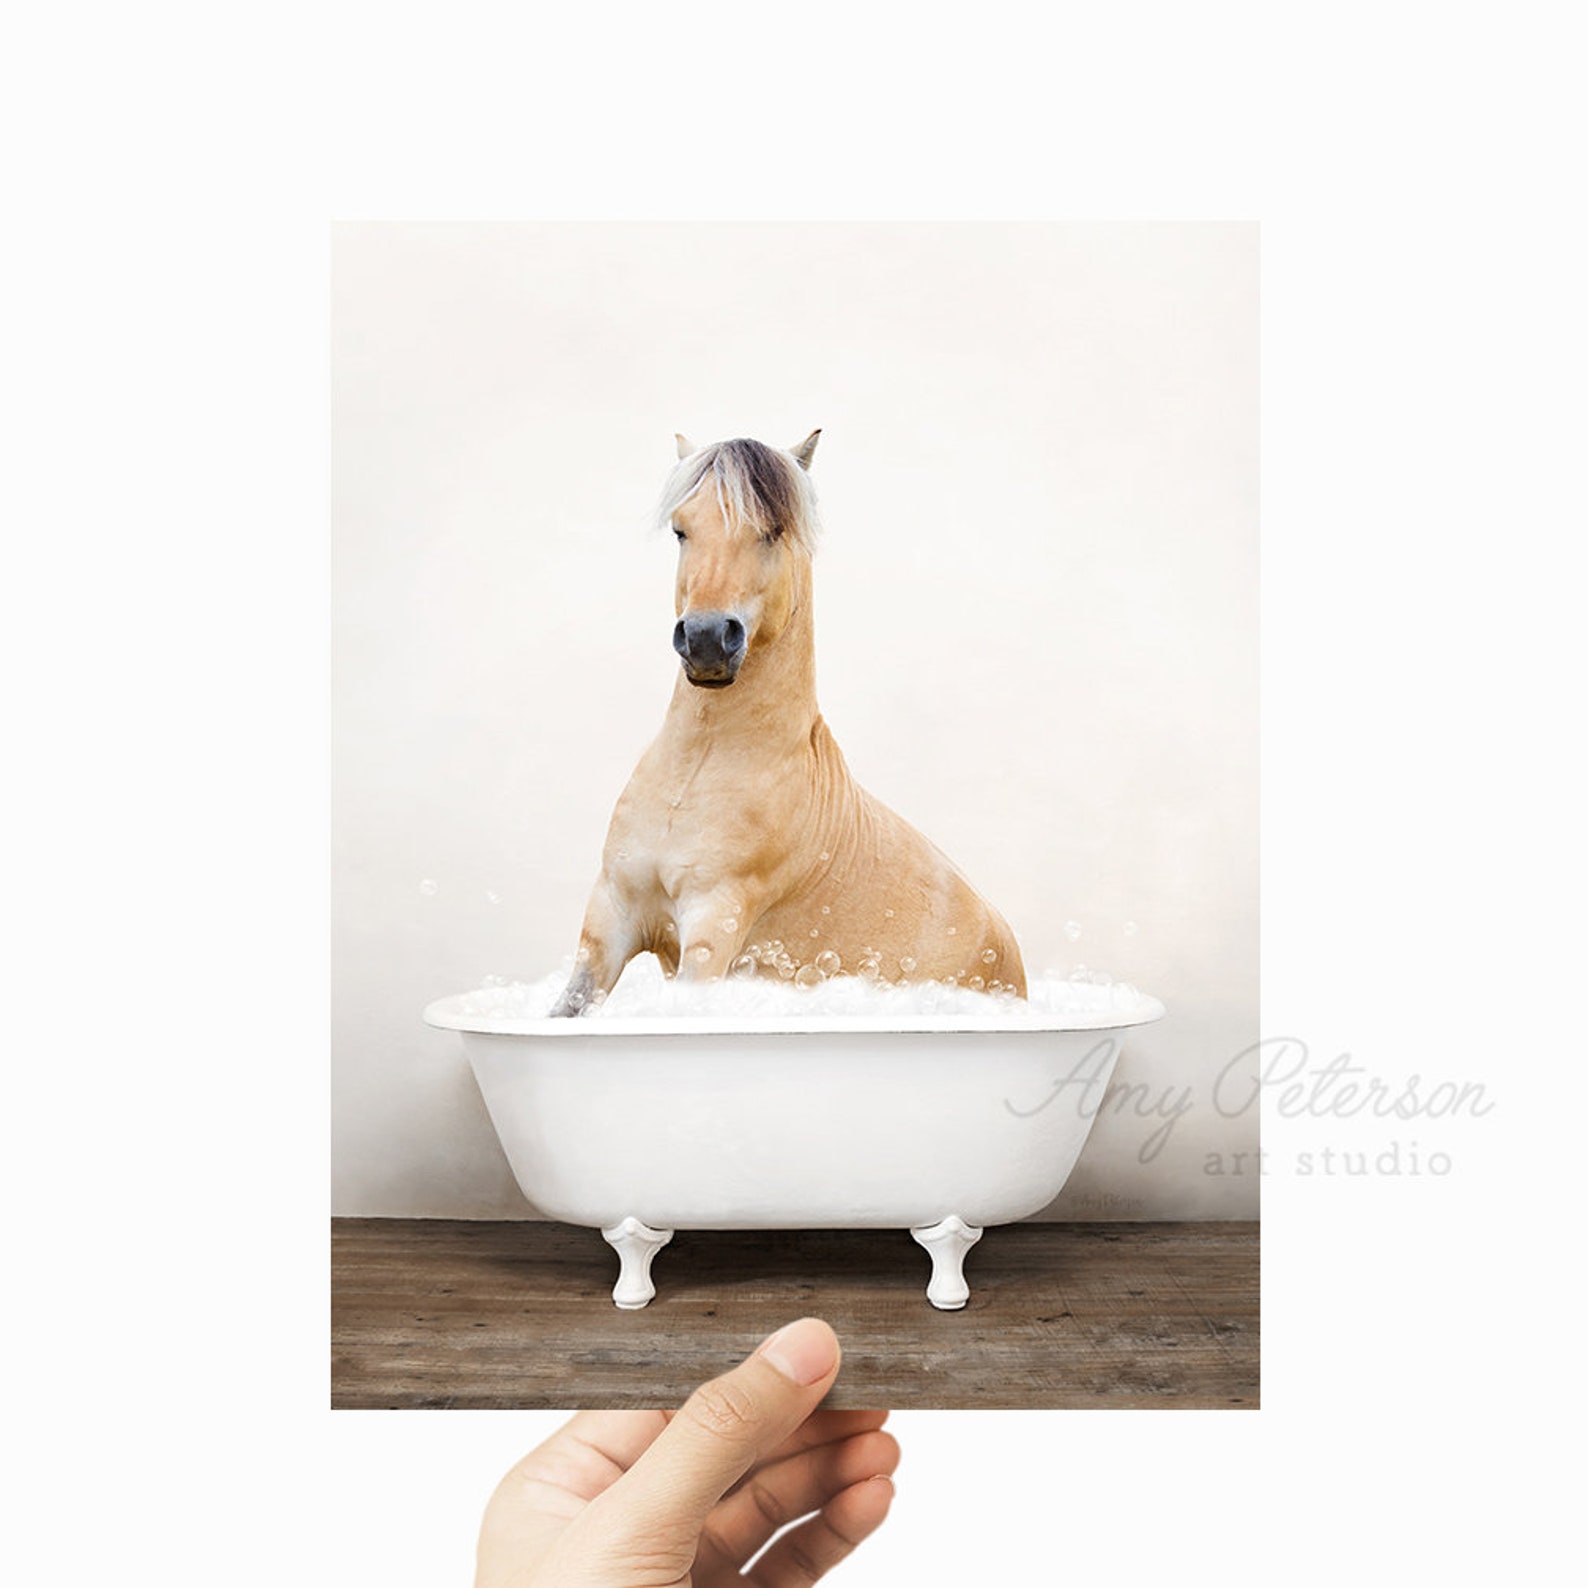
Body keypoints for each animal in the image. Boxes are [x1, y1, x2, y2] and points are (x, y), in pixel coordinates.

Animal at [550, 431, 1026, 1014]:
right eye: (681, 529)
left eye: (772, 531)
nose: (706, 639)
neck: (697, 772)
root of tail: (1004, 942)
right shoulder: (611, 915)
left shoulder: (711, 928)